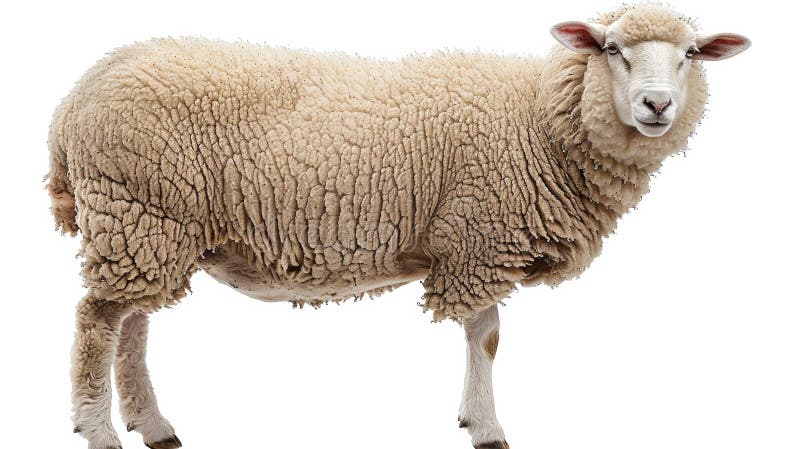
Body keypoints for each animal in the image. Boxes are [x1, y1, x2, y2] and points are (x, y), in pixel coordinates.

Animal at [46, 4, 750, 449]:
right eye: (611, 49)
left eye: (691, 53)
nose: (656, 105)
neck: (541, 121)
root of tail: (76, 96)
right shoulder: (477, 235)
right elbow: (486, 337)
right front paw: (489, 429)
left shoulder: (476, 240)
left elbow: (485, 338)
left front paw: (474, 419)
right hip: (138, 210)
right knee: (98, 322)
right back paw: (101, 432)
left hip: (155, 226)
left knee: (134, 322)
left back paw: (153, 426)